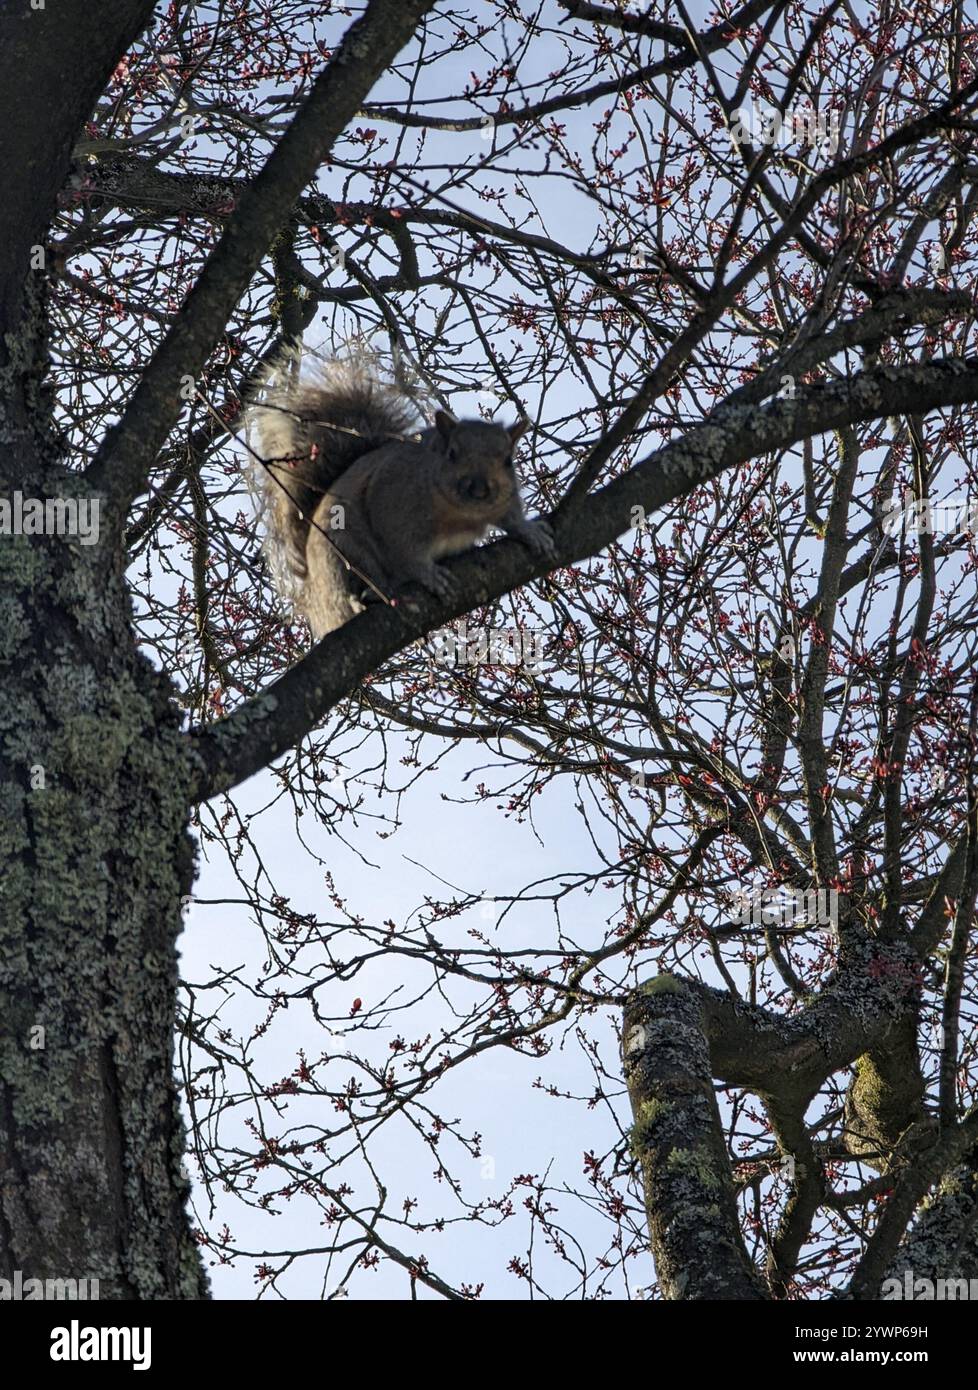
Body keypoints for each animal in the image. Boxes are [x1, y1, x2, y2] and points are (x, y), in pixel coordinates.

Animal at [248, 350, 556, 639]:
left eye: (508, 460)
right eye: (452, 453)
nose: (479, 490)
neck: (459, 515)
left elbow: (510, 515)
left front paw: (529, 531)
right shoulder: (393, 500)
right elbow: (404, 549)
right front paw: (427, 574)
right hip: (341, 555)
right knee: (347, 587)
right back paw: (364, 598)